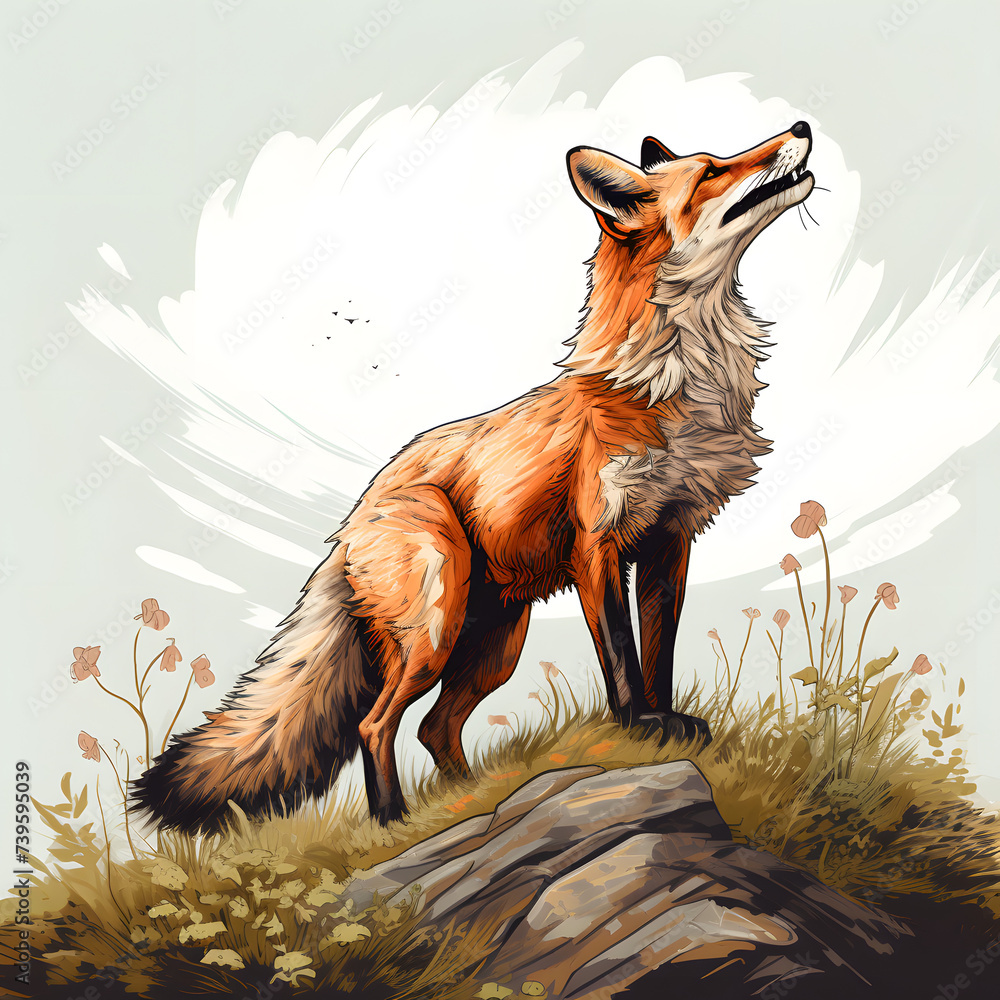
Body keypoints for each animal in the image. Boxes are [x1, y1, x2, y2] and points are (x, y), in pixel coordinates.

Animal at [132, 120, 815, 830]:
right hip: (436, 626)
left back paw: (467, 800)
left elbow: (659, 655)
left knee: (434, 728)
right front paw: (640, 728)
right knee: (376, 724)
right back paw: (394, 820)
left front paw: (667, 722)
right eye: (711, 171)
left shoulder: (669, 540)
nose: (801, 127)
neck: (671, 381)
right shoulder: (597, 546)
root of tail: (351, 521)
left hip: (492, 644)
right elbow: (623, 661)